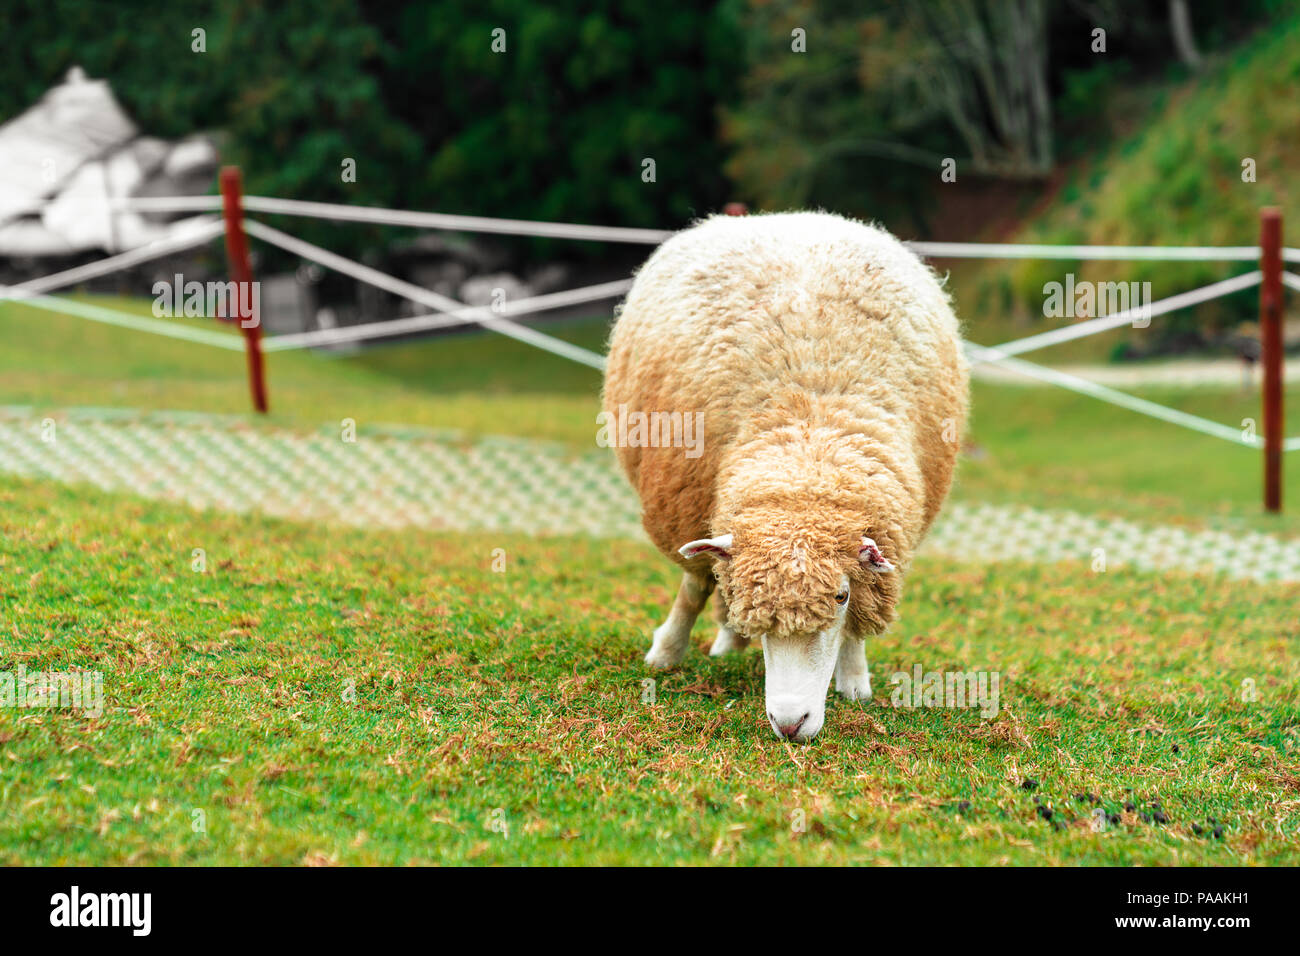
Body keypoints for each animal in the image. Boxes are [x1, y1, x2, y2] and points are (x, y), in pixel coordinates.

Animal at [602, 211, 969, 741]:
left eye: (840, 595)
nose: (790, 723)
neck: (809, 451)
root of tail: (796, 217)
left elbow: (860, 619)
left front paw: (854, 678)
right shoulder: (690, 503)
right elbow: (694, 588)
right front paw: (666, 652)